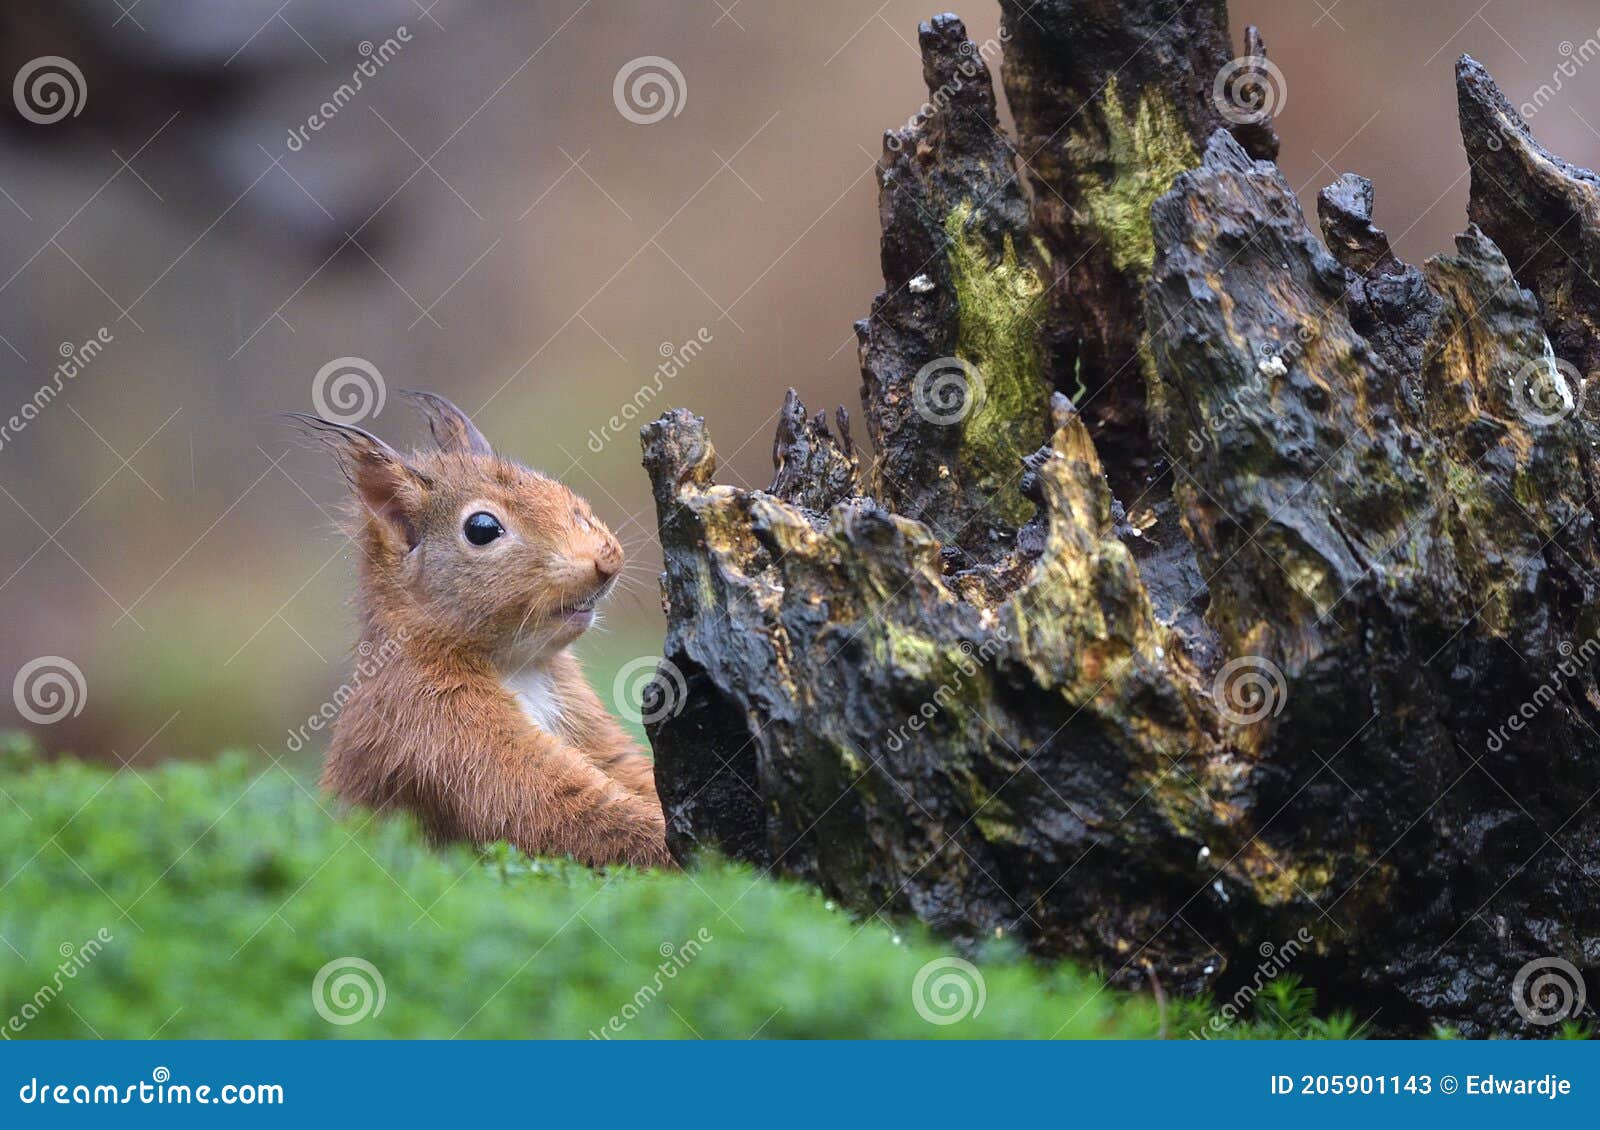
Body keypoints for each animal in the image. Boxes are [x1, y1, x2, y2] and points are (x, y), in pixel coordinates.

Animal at [289, 391, 672, 869]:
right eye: (482, 528)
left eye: (558, 489)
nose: (608, 559)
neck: (516, 665)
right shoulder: (437, 727)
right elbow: (548, 805)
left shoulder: (580, 713)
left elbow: (626, 766)